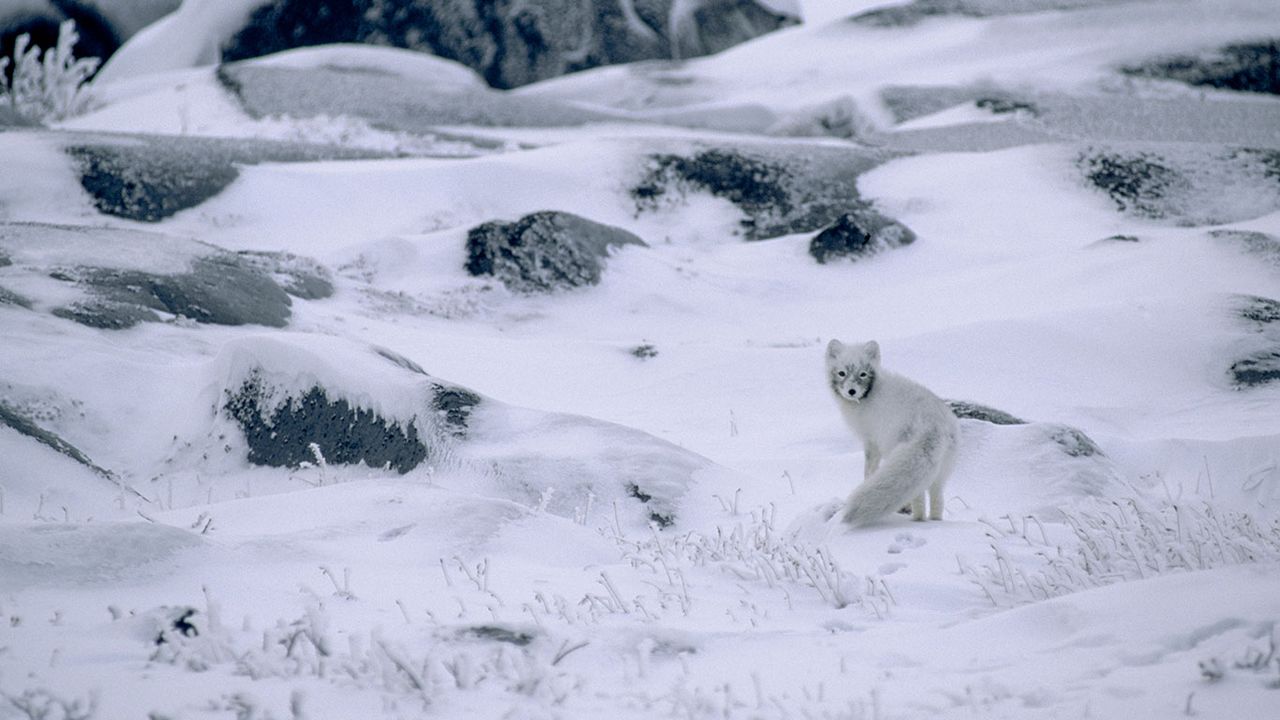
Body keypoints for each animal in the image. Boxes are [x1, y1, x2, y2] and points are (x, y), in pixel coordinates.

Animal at [825, 339, 959, 527]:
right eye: (842, 373)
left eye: (863, 374)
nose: (851, 391)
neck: (869, 394)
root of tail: (935, 425)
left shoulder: (871, 442)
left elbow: (869, 470)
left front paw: (866, 481)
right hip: (940, 472)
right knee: (937, 499)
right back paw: (935, 521)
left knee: (919, 499)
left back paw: (916, 520)